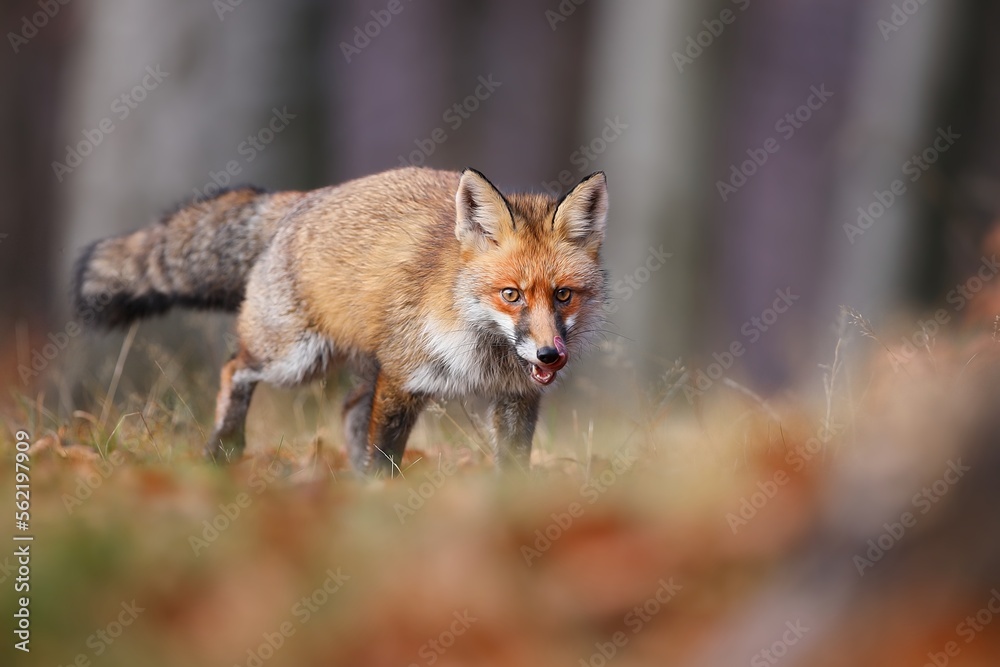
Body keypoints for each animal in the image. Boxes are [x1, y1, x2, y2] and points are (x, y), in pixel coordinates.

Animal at [73, 166, 609, 474]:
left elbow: (512, 468)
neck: (482, 350)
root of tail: (303, 198)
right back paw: (225, 447)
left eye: (562, 295)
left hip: (352, 364)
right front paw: (378, 501)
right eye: (511, 295)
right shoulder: (403, 378)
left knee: (349, 409)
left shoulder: (517, 398)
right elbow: (385, 456)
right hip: (295, 359)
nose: (549, 355)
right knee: (234, 369)